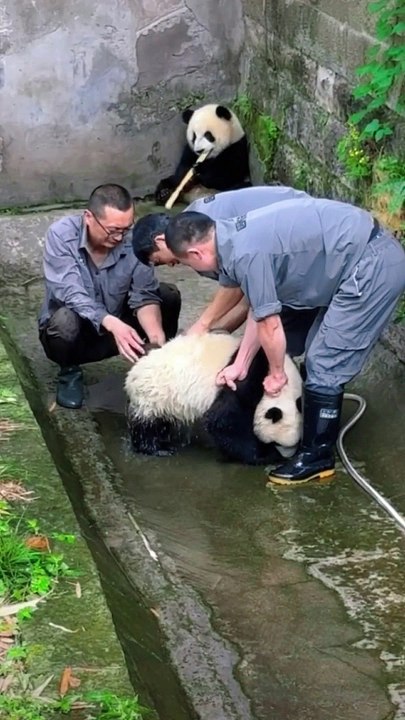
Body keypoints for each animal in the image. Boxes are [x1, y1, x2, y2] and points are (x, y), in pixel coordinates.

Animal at [124, 333, 303, 465]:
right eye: (277, 444)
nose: (288, 455)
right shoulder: (241, 379)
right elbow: (223, 422)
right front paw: (267, 455)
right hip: (152, 394)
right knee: (147, 426)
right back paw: (158, 448)